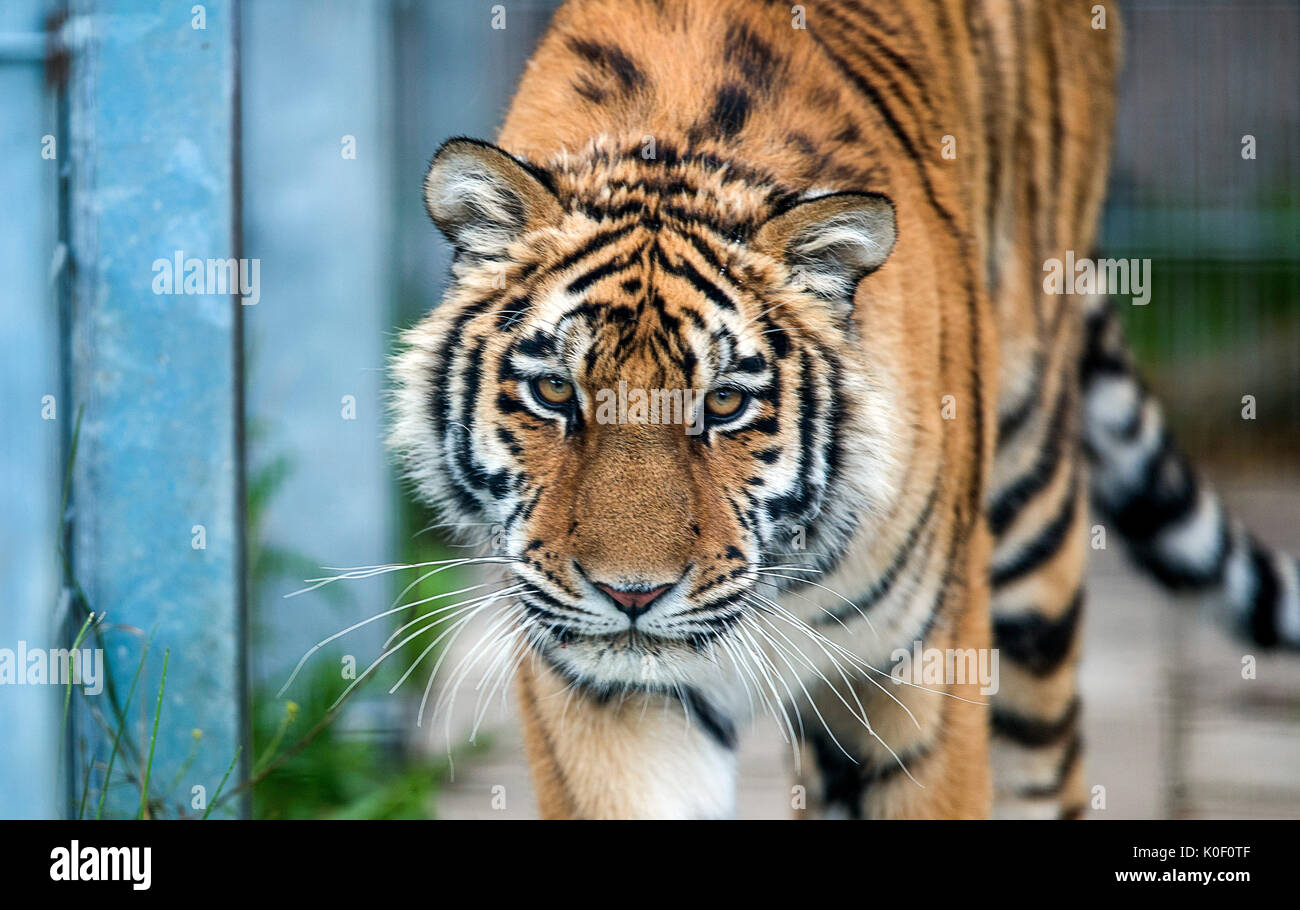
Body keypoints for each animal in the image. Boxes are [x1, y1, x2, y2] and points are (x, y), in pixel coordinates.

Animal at [389, 0, 1300, 819]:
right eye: (554, 391)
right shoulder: (603, 691)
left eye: (725, 402)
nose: (632, 596)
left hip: (1033, 527)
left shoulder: (919, 675)